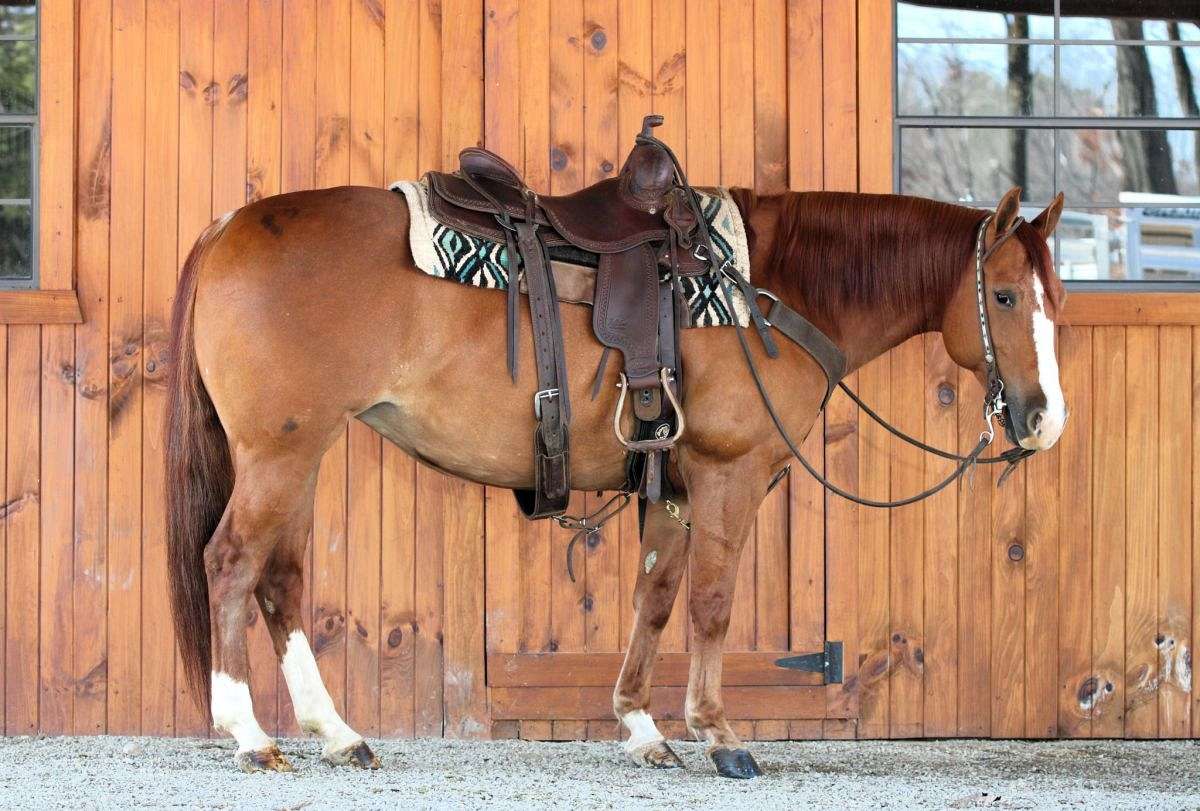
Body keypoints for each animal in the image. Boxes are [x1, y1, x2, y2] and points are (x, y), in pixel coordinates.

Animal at [165, 181, 1067, 776]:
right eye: (1004, 295)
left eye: (1056, 296)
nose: (1043, 418)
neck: (771, 291)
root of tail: (228, 223)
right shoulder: (729, 475)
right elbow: (710, 602)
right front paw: (718, 734)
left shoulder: (671, 485)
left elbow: (655, 598)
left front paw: (641, 726)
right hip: (279, 454)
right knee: (231, 563)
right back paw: (250, 732)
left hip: (299, 455)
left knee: (280, 578)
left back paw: (338, 731)